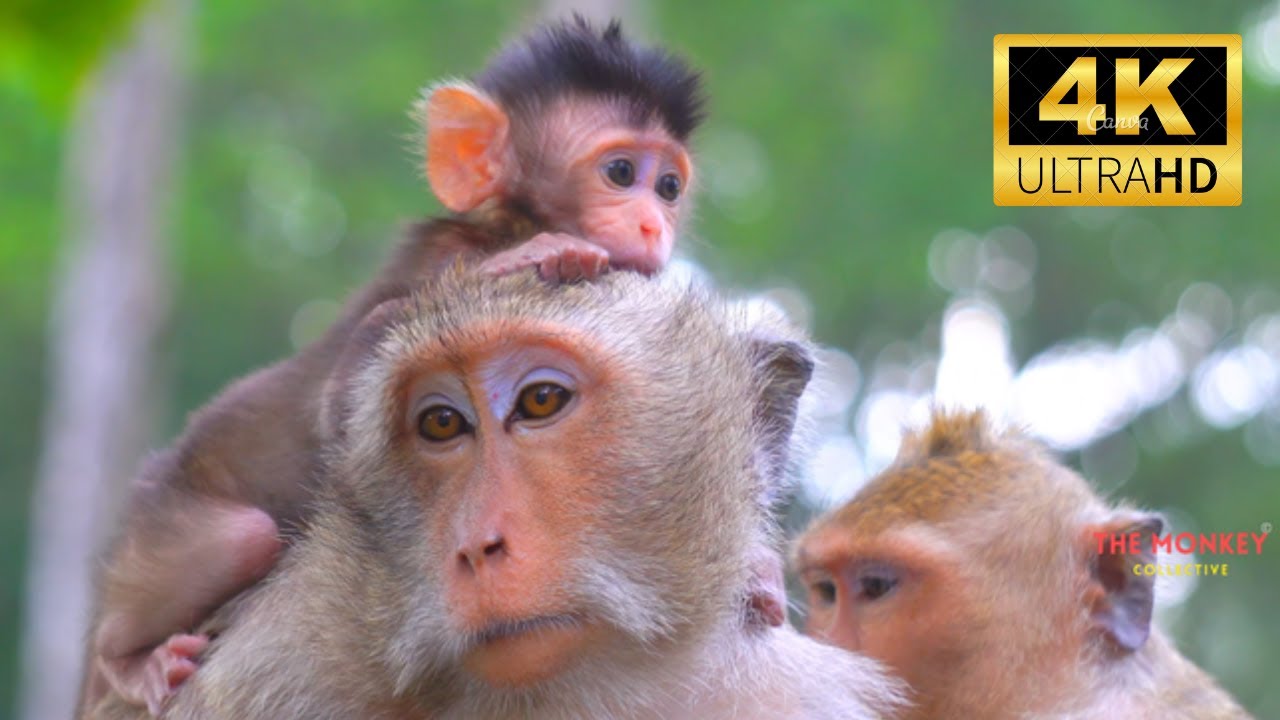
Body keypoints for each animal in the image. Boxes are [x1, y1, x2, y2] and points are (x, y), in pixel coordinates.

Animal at [81, 17, 716, 715]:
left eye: (669, 187)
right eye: (622, 171)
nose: (655, 226)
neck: (503, 221)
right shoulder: (442, 262)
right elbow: (338, 412)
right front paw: (536, 252)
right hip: (162, 517)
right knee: (240, 537)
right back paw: (124, 657)